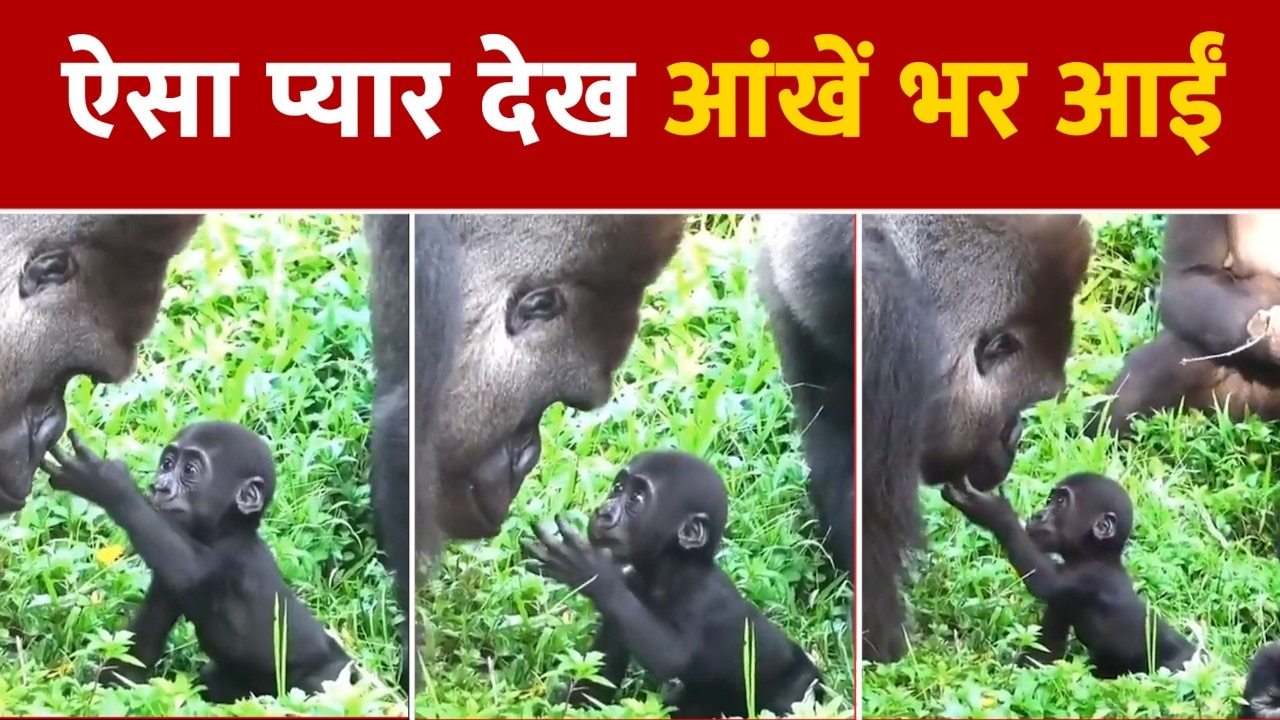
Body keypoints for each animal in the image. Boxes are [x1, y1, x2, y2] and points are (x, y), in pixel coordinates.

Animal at [40, 423, 352, 703]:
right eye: (167, 464)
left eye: (189, 471)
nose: (160, 487)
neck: (227, 530)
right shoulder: (165, 585)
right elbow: (136, 655)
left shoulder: (232, 560)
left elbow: (188, 570)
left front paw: (103, 480)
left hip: (334, 679)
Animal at [523, 450, 823, 719]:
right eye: (617, 489)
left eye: (636, 498)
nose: (604, 512)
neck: (670, 569)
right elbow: (594, 681)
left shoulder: (703, 597)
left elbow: (676, 658)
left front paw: (591, 571)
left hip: (802, 689)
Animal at [942, 472, 1194, 679]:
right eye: (1049, 500)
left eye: (1061, 502)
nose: (1038, 515)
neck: (1095, 555)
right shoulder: (1060, 605)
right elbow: (1045, 652)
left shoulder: (1087, 578)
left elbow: (1046, 582)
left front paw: (989, 508)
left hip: (1180, 663)